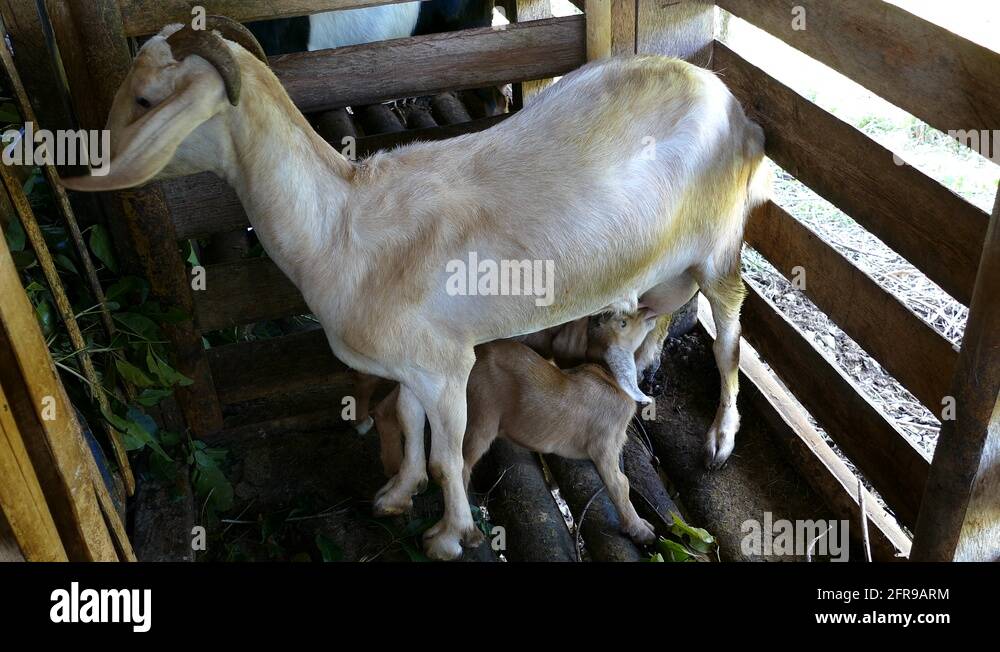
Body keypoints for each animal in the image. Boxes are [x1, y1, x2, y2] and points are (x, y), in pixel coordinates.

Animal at [375, 311, 661, 544]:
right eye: (623, 323)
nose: (650, 314)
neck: (607, 377)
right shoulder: (606, 444)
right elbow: (620, 485)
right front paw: (640, 530)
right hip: (482, 417)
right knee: (461, 464)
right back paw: (463, 528)